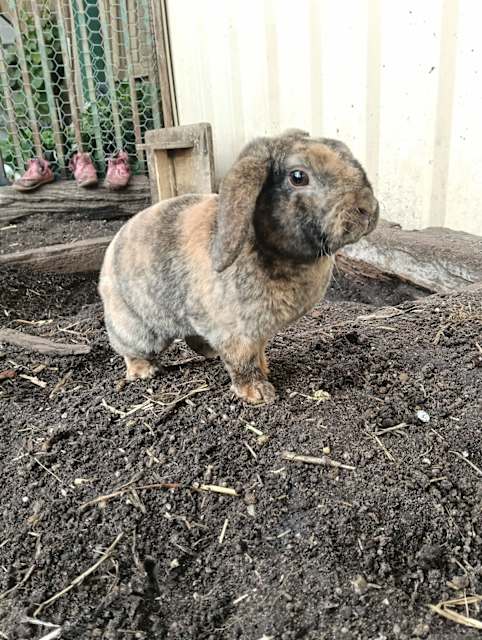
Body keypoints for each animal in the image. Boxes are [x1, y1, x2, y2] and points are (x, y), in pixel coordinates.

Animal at [99, 129, 379, 404]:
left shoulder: (257, 332)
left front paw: (266, 370)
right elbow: (243, 363)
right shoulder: (237, 333)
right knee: (131, 349)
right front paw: (258, 393)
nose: (367, 209)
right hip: (136, 327)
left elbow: (259, 352)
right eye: (298, 177)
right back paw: (144, 371)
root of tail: (109, 255)